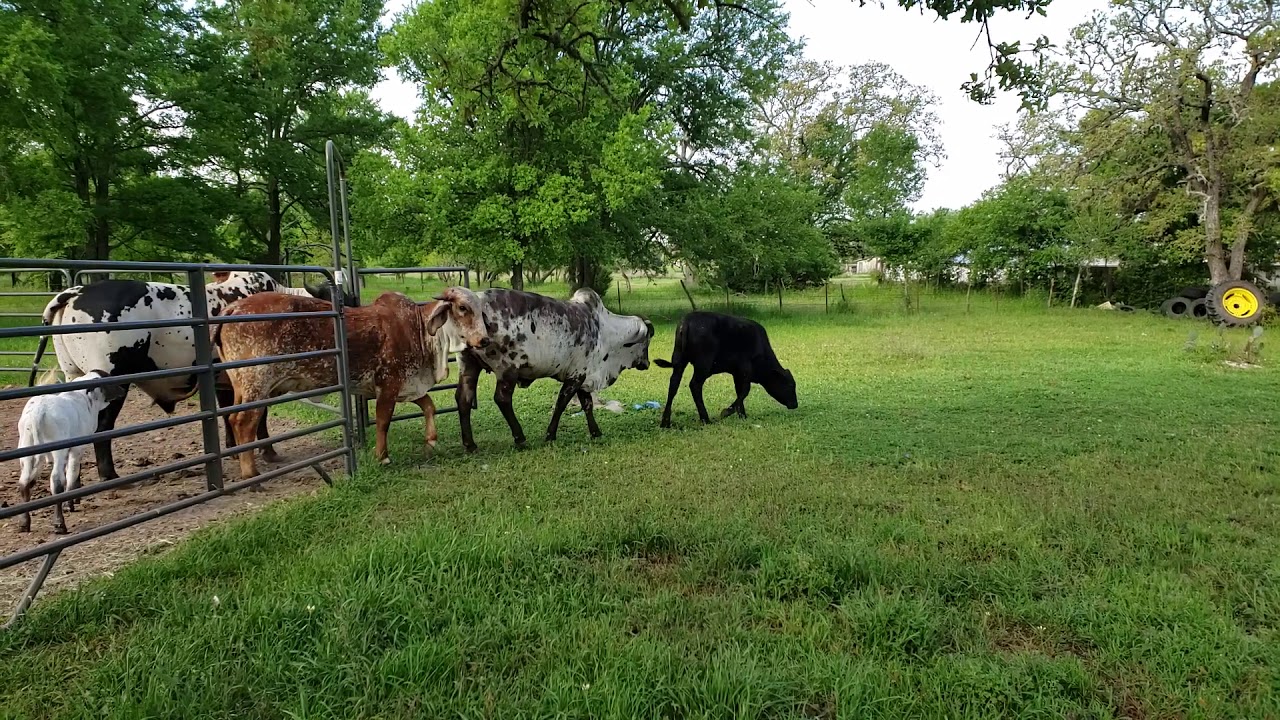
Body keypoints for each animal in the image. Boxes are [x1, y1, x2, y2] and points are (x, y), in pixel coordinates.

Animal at [40, 271, 341, 481]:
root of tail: (76, 291)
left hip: (74, 374)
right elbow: (258, 414)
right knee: (102, 428)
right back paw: (109, 475)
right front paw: (268, 451)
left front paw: (234, 448)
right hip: (113, 381)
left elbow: (227, 414)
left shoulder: (226, 381)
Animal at [212, 288, 490, 481]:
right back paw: (251, 474)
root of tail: (232, 309)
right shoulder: (388, 385)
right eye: (463, 308)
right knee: (244, 421)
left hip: (242, 388)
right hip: (257, 383)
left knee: (234, 417)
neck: (419, 330)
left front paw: (430, 441)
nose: (484, 340)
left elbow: (429, 405)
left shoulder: (407, 385)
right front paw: (382, 457)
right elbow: (383, 422)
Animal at [453, 287, 655, 452]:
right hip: (507, 370)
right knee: (502, 399)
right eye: (646, 342)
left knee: (463, 398)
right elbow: (561, 404)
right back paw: (520, 438)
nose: (647, 364)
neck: (605, 331)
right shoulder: (576, 376)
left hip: (468, 365)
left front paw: (595, 432)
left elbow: (587, 405)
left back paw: (470, 444)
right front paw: (550, 435)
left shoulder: (584, 376)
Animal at [655, 311, 797, 428]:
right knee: (695, 385)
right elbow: (745, 390)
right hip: (703, 365)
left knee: (673, 385)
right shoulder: (745, 369)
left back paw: (665, 422)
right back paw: (705, 419)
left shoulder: (737, 373)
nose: (795, 404)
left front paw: (742, 415)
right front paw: (727, 412)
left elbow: (739, 391)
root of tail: (687, 321)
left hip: (679, 361)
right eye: (790, 385)